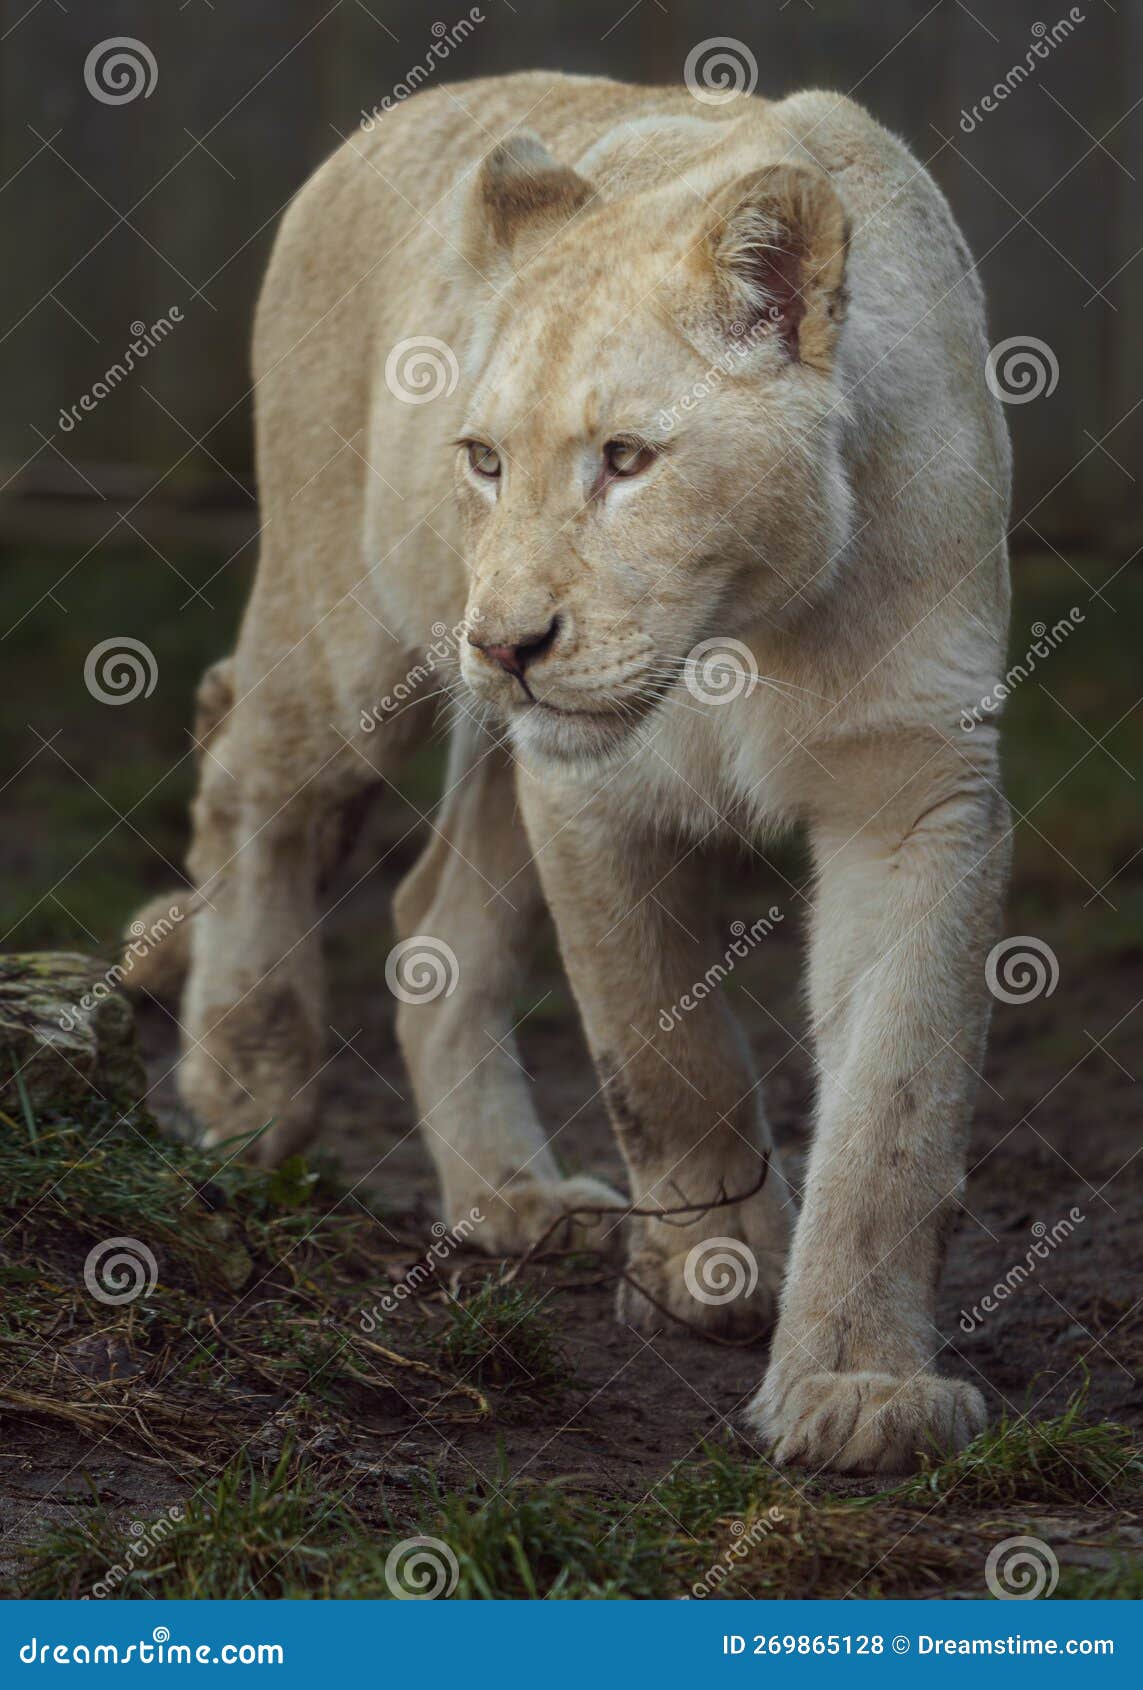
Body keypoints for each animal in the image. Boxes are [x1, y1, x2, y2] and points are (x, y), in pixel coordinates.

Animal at [127, 71, 1012, 1474]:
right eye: (485, 458)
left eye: (628, 458)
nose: (507, 644)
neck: (747, 629)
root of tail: (394, 116)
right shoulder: (598, 791)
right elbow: (664, 1049)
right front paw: (715, 1264)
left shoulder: (916, 787)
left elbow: (897, 1107)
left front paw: (861, 1388)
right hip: (350, 641)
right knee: (246, 772)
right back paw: (247, 1079)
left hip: (495, 746)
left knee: (431, 918)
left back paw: (512, 1197)